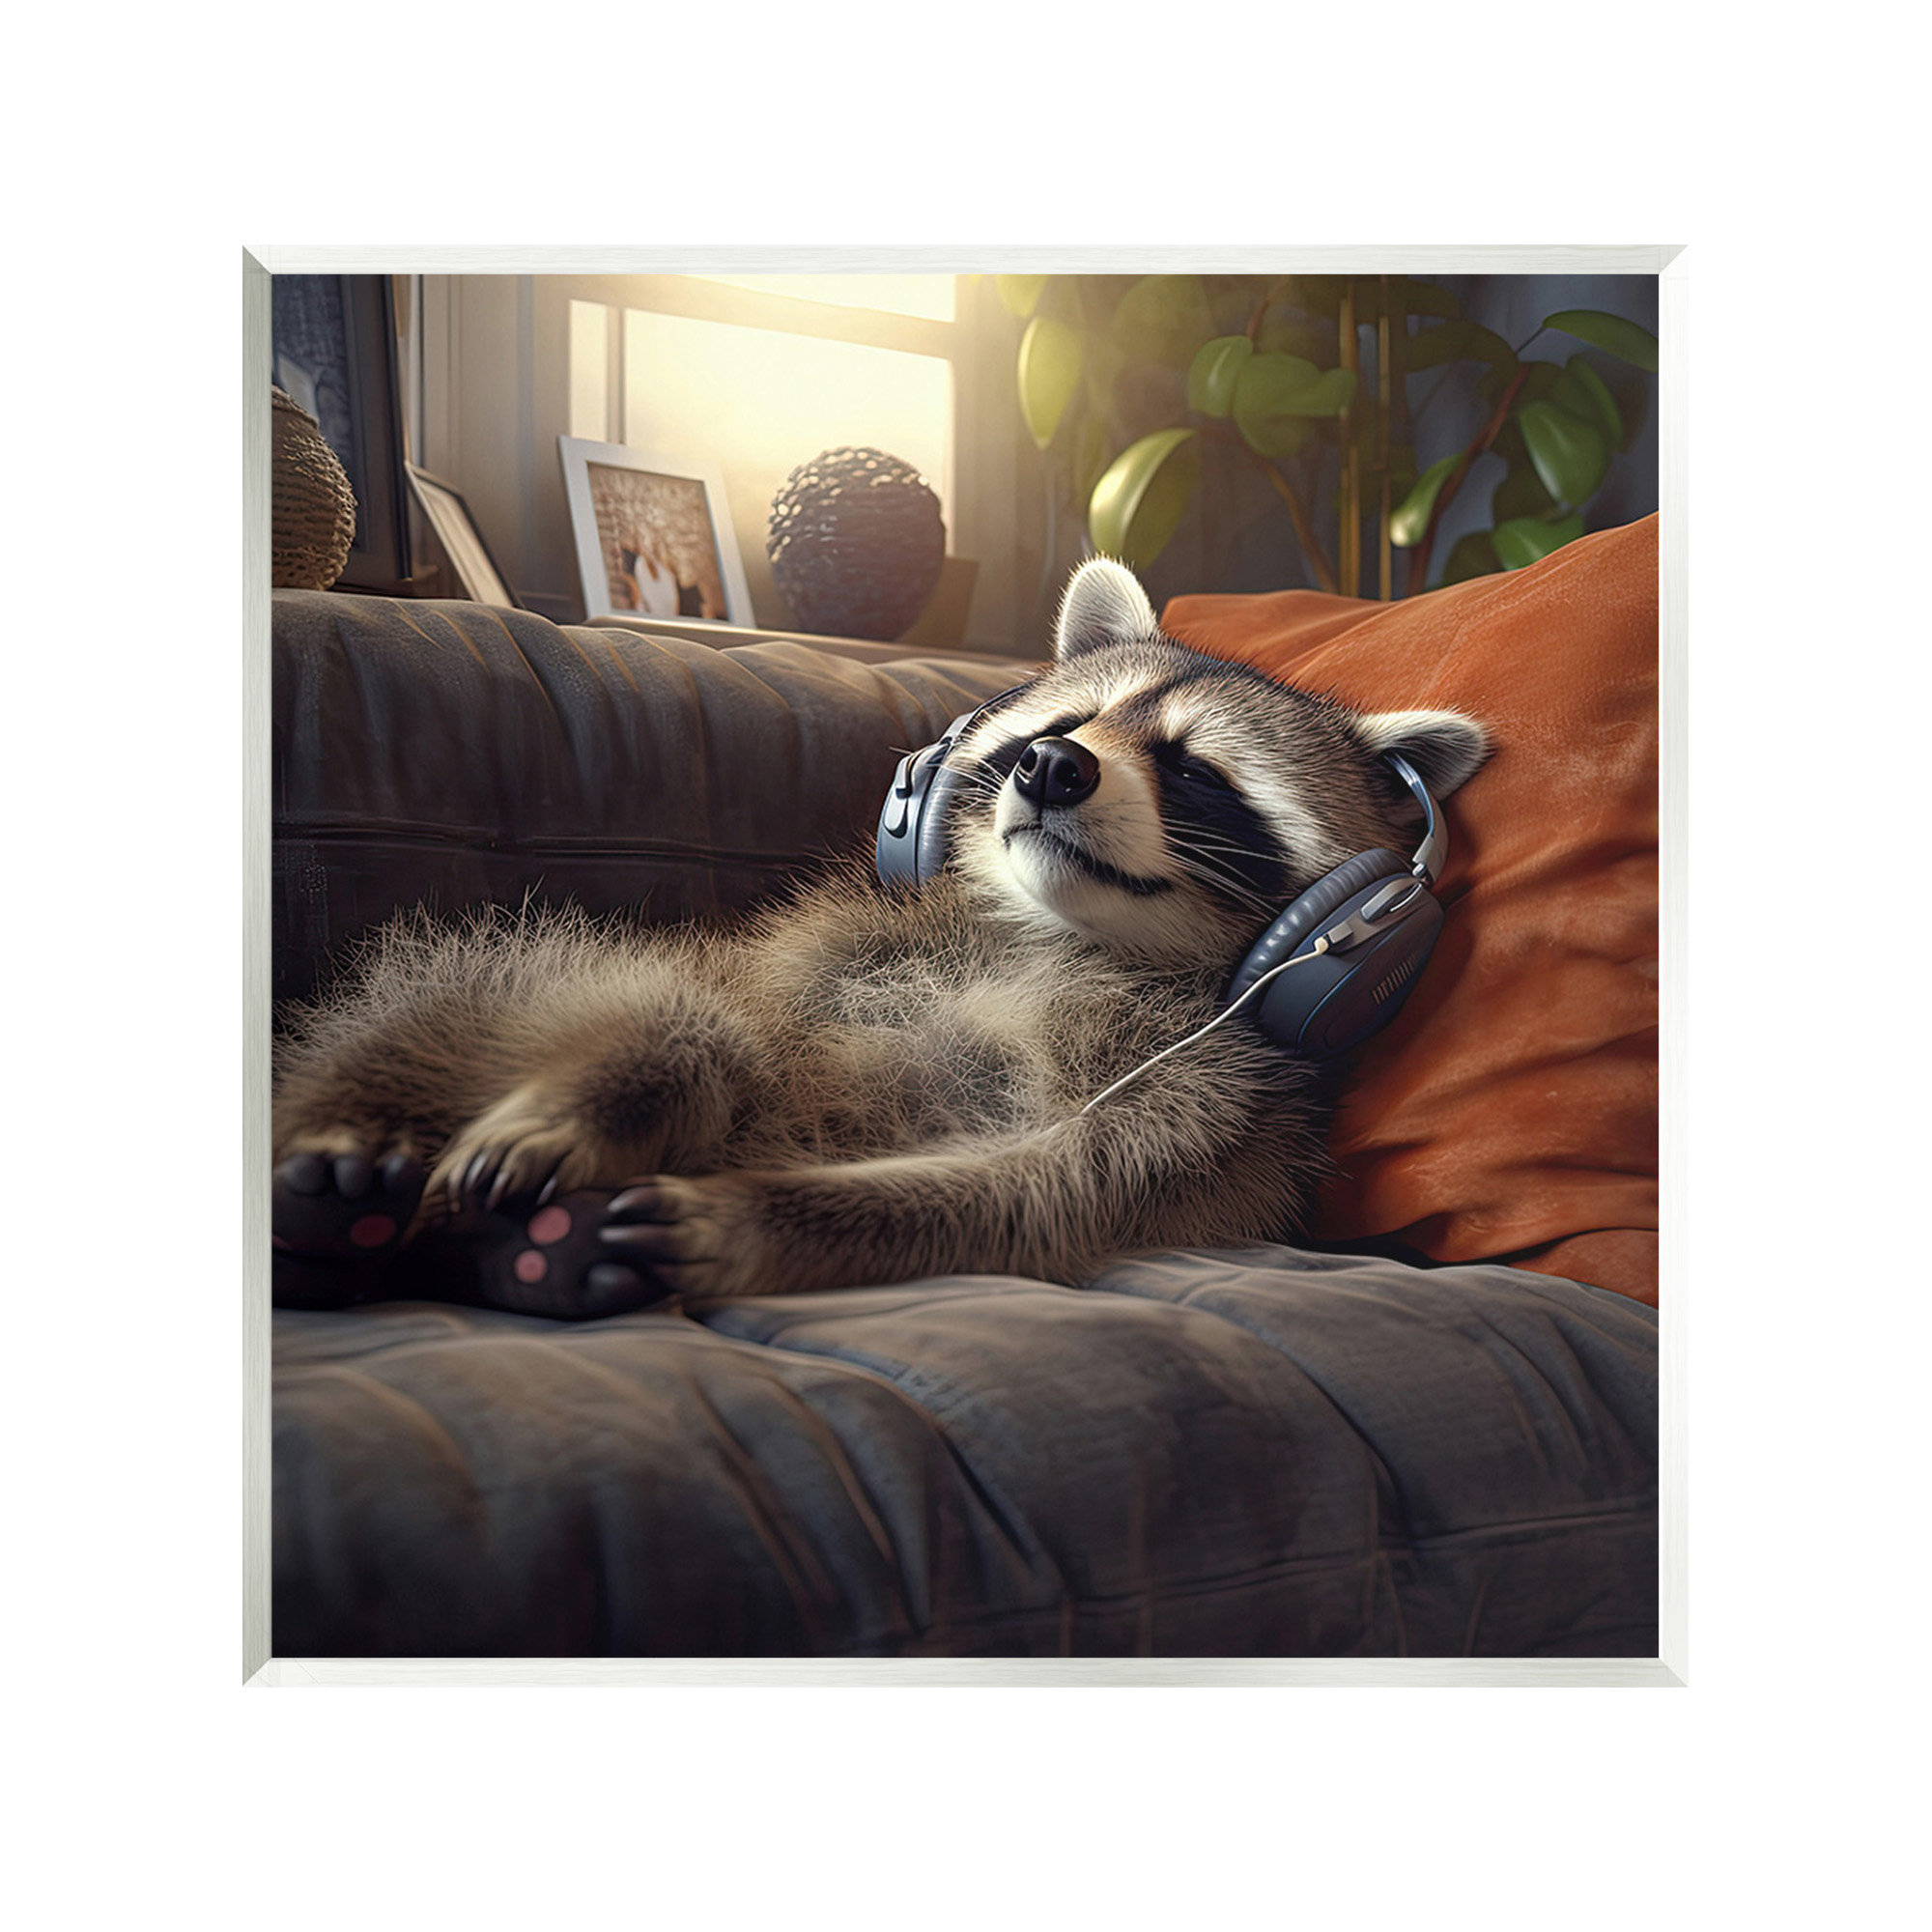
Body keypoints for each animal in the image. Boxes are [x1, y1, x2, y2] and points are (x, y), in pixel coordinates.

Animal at [271, 558, 1487, 1315]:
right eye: (1064, 725)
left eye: (1191, 771)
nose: (1051, 766)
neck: (1057, 933)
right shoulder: (821, 943)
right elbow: (698, 1005)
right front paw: (604, 1097)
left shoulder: (1207, 1106)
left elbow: (1038, 1188)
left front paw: (763, 1215)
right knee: (513, 986)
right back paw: (356, 1127)